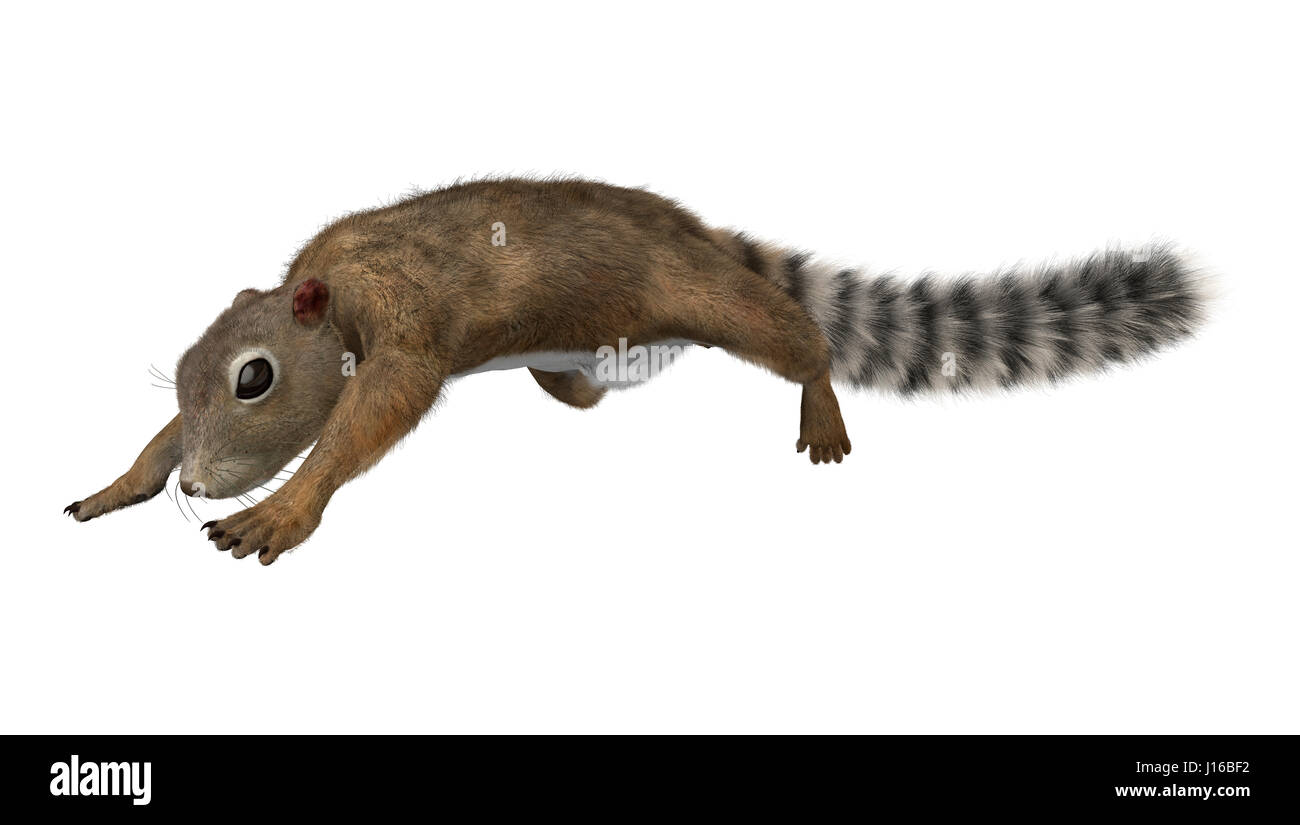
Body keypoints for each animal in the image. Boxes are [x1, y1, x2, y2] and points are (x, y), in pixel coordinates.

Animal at [64, 178, 1209, 564]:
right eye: (185, 373)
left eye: (254, 380)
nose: (197, 481)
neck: (325, 289)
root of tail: (694, 230)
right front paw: (129, 479)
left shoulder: (404, 320)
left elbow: (373, 415)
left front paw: (286, 504)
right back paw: (577, 380)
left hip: (707, 294)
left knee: (794, 336)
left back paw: (819, 398)